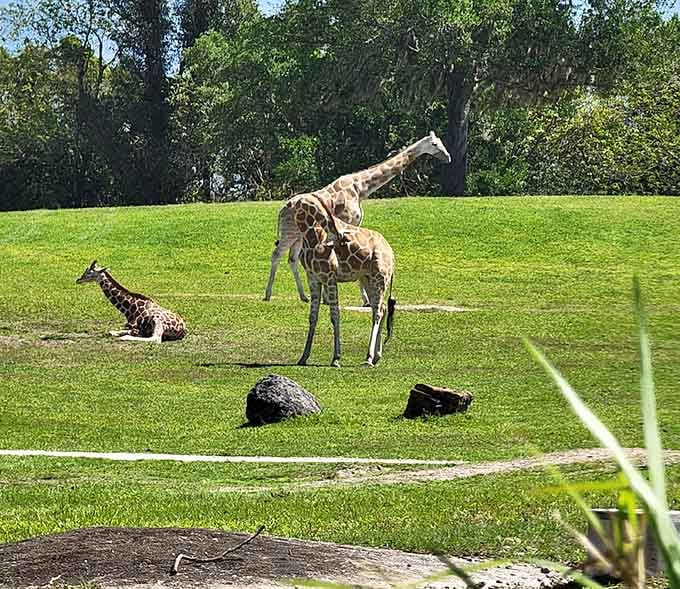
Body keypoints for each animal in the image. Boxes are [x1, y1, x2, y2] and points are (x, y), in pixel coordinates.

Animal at [263, 131, 450, 303]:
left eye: (441, 142)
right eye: (434, 144)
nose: (448, 157)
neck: (360, 188)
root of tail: (281, 210)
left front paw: (330, 297)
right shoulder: (349, 221)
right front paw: (363, 299)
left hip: (298, 236)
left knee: (292, 259)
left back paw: (304, 296)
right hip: (289, 233)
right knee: (276, 254)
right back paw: (267, 295)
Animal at [291, 194, 396, 368]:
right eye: (315, 207)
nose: (340, 236)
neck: (310, 238)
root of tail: (392, 253)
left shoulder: (330, 277)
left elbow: (335, 315)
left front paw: (336, 358)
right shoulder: (313, 278)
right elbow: (312, 317)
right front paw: (303, 357)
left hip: (380, 277)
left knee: (378, 311)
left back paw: (368, 358)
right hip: (367, 278)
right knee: (380, 308)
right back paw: (376, 357)